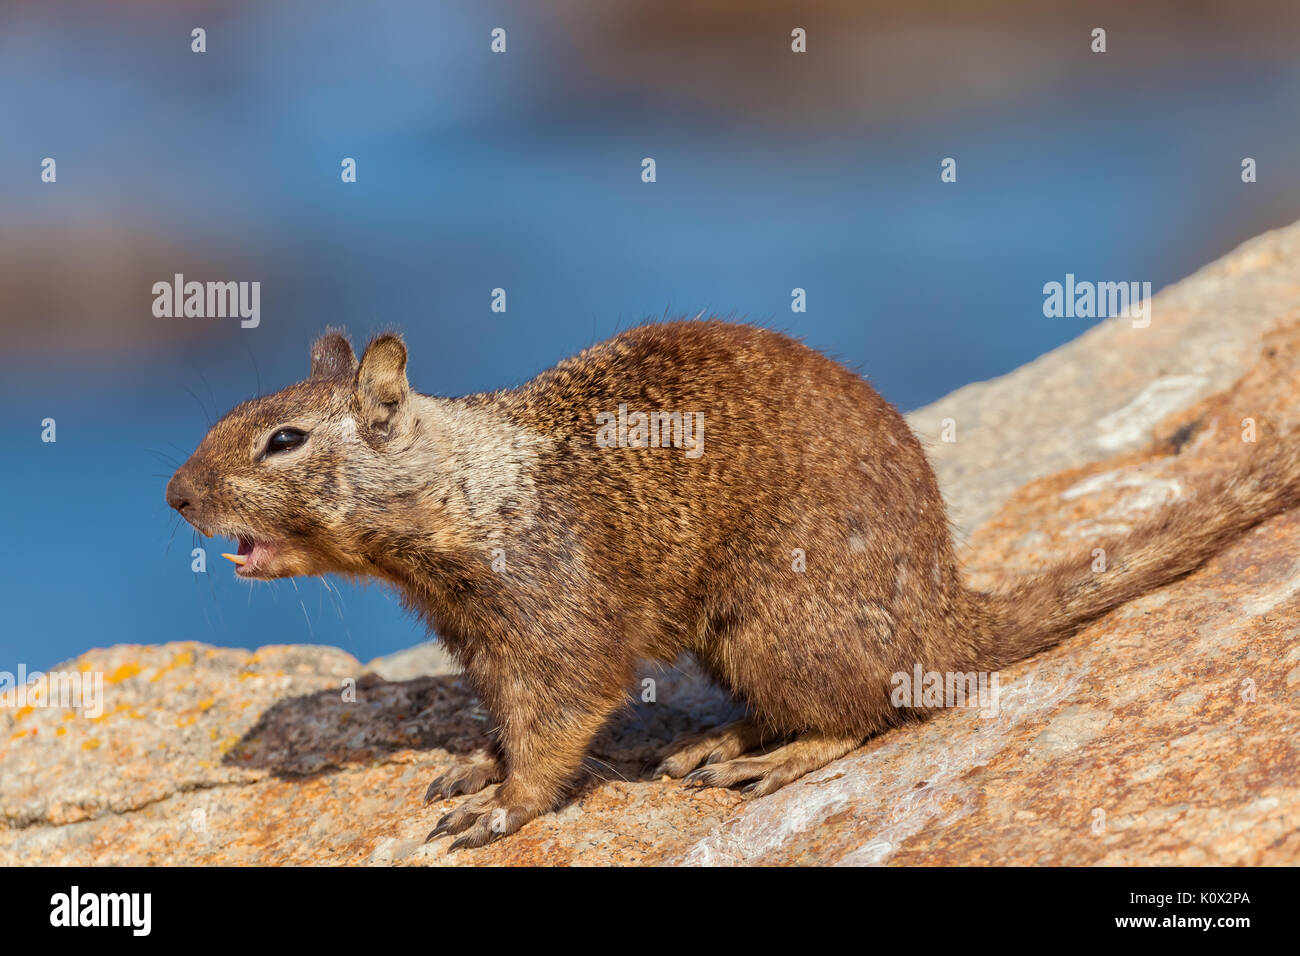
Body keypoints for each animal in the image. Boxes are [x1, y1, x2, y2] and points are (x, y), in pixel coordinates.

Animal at [166, 319, 1300, 849]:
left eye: (283, 439)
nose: (175, 496)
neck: (462, 490)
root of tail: (946, 610)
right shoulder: (481, 642)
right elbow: (501, 719)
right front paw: (470, 766)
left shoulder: (550, 623)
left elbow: (558, 723)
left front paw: (500, 807)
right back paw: (721, 741)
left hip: (772, 621)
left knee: (865, 712)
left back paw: (770, 759)